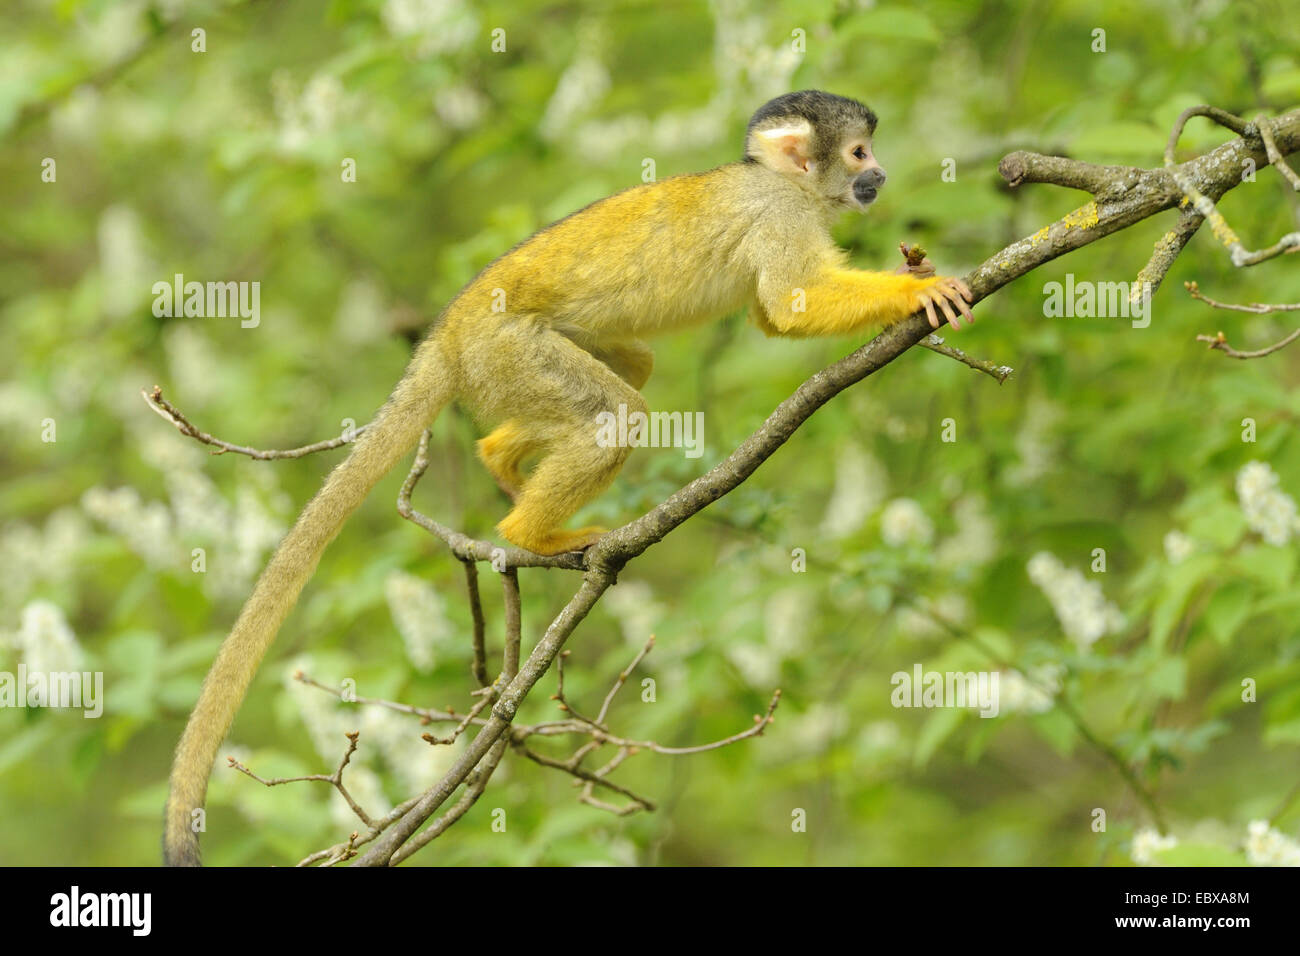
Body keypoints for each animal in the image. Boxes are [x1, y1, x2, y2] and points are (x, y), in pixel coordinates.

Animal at [163, 90, 974, 865]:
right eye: (859, 152)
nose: (880, 176)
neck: (785, 184)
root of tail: (445, 333)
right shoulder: (780, 214)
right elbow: (789, 304)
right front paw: (913, 294)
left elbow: (772, 318)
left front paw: (914, 272)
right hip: (505, 348)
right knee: (617, 411)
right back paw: (533, 531)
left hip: (508, 362)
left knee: (632, 368)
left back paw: (501, 459)